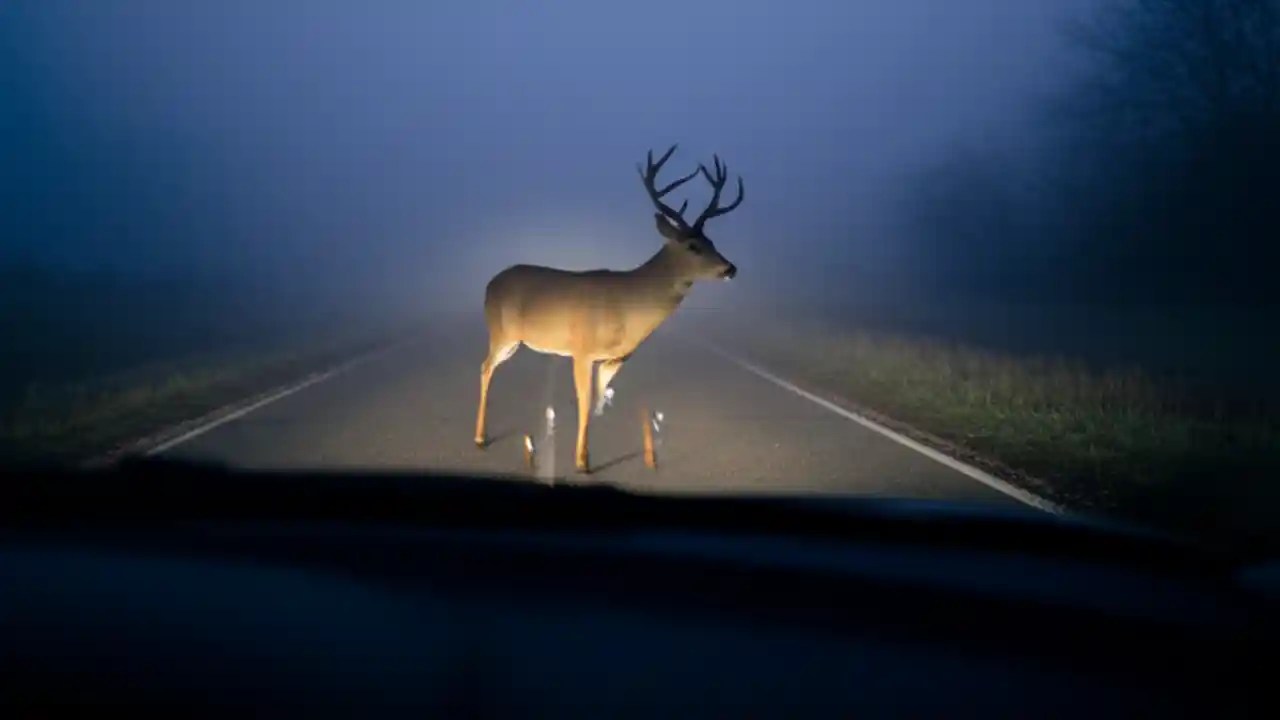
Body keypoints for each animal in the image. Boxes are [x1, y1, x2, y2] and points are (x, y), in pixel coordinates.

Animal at [473, 144, 744, 473]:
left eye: (712, 241)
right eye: (693, 246)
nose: (730, 268)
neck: (629, 307)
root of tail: (490, 283)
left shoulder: (616, 358)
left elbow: (599, 401)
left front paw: (595, 456)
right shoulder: (581, 350)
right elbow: (585, 401)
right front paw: (581, 462)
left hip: (514, 341)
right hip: (501, 334)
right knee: (485, 368)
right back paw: (479, 438)